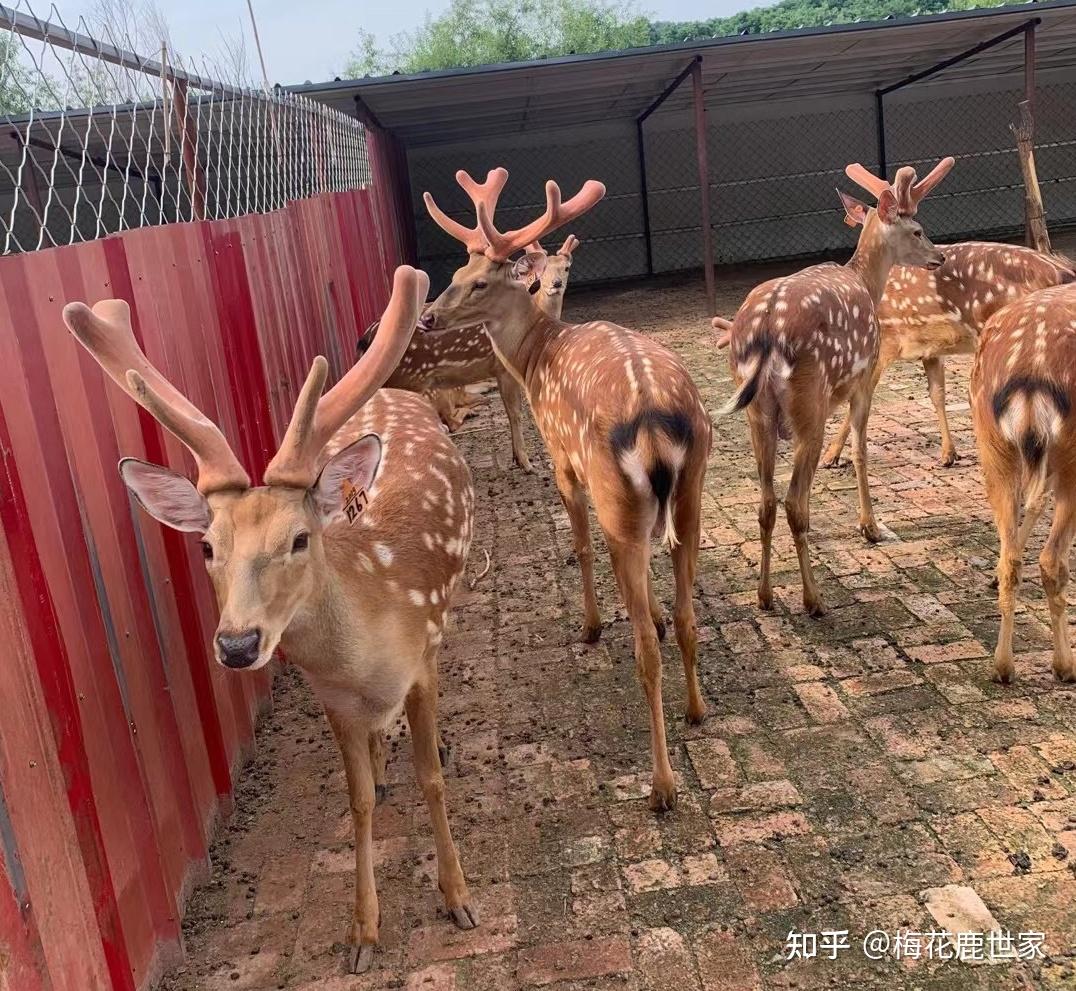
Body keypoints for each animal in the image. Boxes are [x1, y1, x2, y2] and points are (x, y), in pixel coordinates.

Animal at [60, 266, 479, 975]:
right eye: (206, 547)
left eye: (300, 539)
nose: (236, 644)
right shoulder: (332, 698)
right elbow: (358, 800)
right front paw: (362, 933)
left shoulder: (421, 659)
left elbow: (433, 779)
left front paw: (458, 898)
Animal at [421, 168, 710, 813]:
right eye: (453, 274)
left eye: (478, 282)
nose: (425, 317)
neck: (535, 355)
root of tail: (656, 421)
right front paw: (650, 611)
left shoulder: (563, 459)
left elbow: (579, 546)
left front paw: (591, 625)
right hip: (690, 492)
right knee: (688, 615)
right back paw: (697, 709)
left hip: (615, 489)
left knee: (645, 648)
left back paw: (662, 785)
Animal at [718, 158, 954, 617]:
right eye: (918, 229)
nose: (940, 256)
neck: (866, 282)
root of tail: (769, 327)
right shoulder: (864, 378)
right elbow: (861, 449)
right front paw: (870, 526)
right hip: (809, 399)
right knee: (794, 502)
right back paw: (814, 599)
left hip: (757, 411)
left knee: (766, 502)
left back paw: (765, 596)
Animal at [970, 282, 1076, 685]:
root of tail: (1031, 368)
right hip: (1071, 454)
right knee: (1051, 560)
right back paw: (1065, 666)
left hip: (991, 443)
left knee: (1011, 558)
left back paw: (1003, 666)